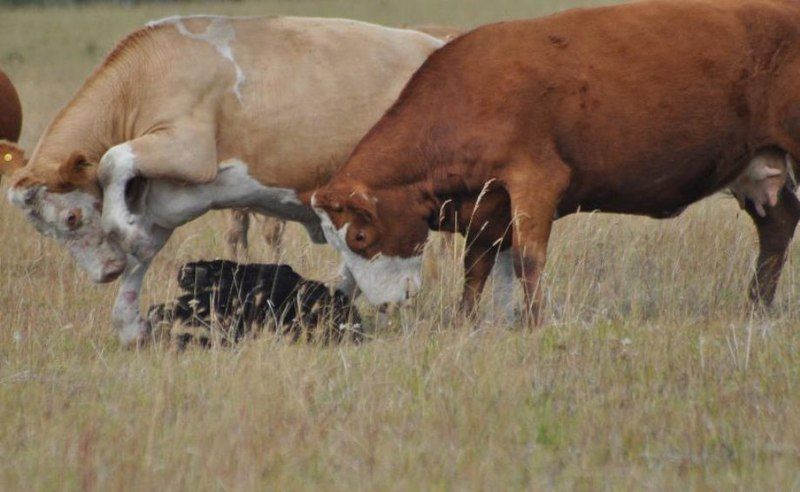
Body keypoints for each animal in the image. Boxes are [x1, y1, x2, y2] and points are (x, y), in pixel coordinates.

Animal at [6, 16, 444, 346]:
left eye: (71, 218)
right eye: (45, 230)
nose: (105, 273)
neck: (145, 80)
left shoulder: (189, 152)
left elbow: (113, 161)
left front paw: (125, 233)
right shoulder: (162, 201)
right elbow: (141, 258)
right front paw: (132, 326)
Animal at [308, 0, 800, 323]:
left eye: (361, 235)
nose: (386, 305)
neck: (471, 90)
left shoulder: (535, 181)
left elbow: (527, 259)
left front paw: (534, 321)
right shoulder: (485, 207)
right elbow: (475, 268)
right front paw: (464, 320)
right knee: (778, 224)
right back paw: (756, 307)